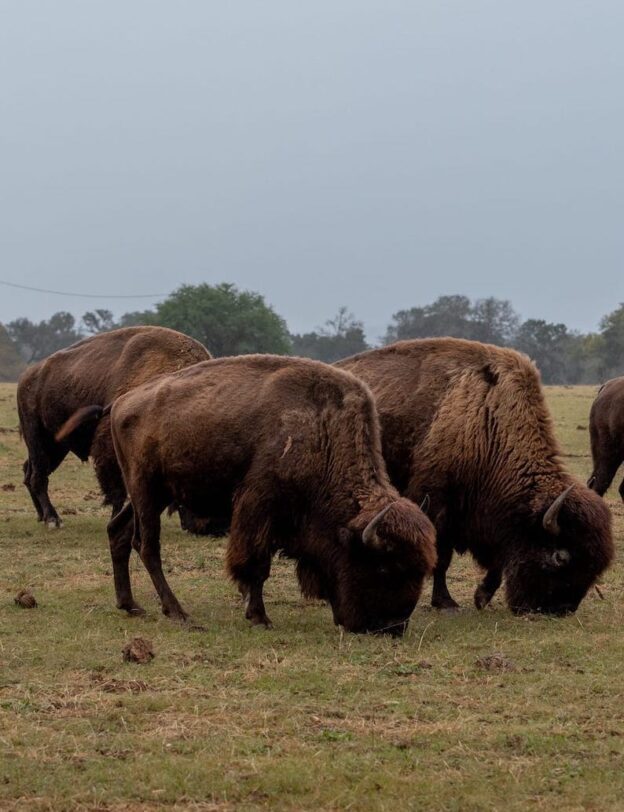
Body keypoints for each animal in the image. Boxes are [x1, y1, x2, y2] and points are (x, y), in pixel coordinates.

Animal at [18, 326, 210, 527]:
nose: (204, 524)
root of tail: (28, 377)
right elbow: (118, 492)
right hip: (37, 438)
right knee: (38, 477)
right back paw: (52, 519)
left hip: (57, 446)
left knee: (29, 472)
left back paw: (41, 515)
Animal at [100, 355, 437, 634]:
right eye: (384, 566)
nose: (391, 627)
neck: (321, 431)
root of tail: (122, 403)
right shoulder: (259, 508)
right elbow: (257, 565)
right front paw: (260, 617)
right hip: (146, 490)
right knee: (146, 546)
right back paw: (178, 613)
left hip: (153, 496)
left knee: (119, 531)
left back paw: (130, 605)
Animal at [337, 338, 614, 615]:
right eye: (560, 557)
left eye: (593, 569)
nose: (557, 609)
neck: (487, 418)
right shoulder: (439, 505)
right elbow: (443, 556)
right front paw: (446, 603)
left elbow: (497, 558)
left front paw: (481, 597)